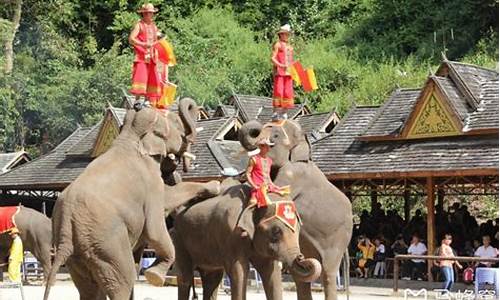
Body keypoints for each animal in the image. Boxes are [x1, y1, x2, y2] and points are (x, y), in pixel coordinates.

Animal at [42, 98, 215, 300]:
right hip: (108, 243)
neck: (130, 135)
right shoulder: (150, 184)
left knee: (89, 289)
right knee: (122, 280)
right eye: (176, 123)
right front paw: (155, 276)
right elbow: (157, 224)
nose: (179, 168)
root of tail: (66, 229)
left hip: (78, 254)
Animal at [172, 178, 320, 300]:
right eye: (276, 231)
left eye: (299, 230)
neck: (252, 200)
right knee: (185, 278)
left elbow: (271, 272)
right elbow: (239, 271)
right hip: (178, 240)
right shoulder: (231, 235)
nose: (301, 257)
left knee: (212, 279)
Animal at [237, 120, 352, 300]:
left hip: (339, 238)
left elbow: (277, 194)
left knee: (328, 273)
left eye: (275, 136)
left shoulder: (294, 173)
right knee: (301, 275)